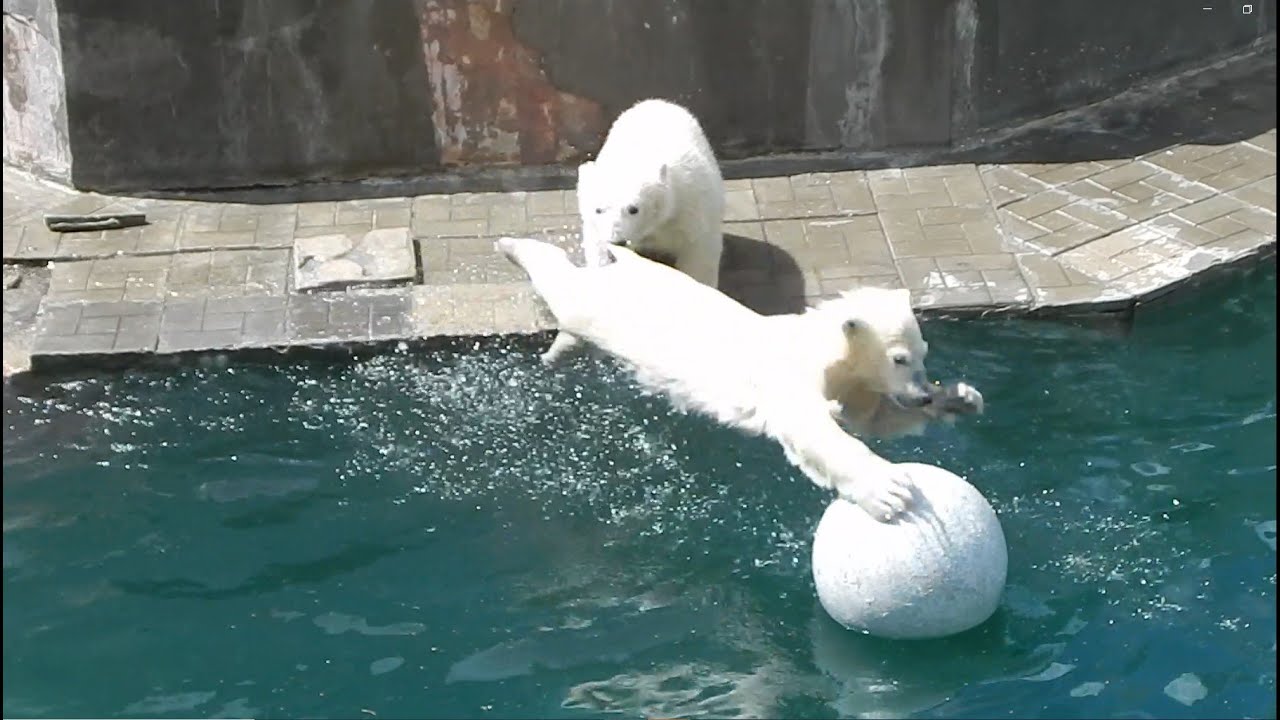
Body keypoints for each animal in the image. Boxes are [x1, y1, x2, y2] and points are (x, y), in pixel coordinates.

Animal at [496, 235, 984, 522]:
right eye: (899, 358)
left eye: (923, 356)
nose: (921, 397)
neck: (819, 350)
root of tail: (626, 264)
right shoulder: (788, 376)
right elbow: (814, 431)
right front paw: (890, 491)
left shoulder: (852, 386)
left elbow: (872, 419)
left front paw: (960, 398)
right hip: (605, 309)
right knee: (564, 287)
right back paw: (510, 245)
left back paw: (558, 351)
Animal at [541, 99, 725, 366]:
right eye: (599, 209)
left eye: (633, 208)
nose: (616, 240)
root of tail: (657, 102)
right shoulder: (596, 228)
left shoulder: (690, 211)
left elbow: (699, 259)